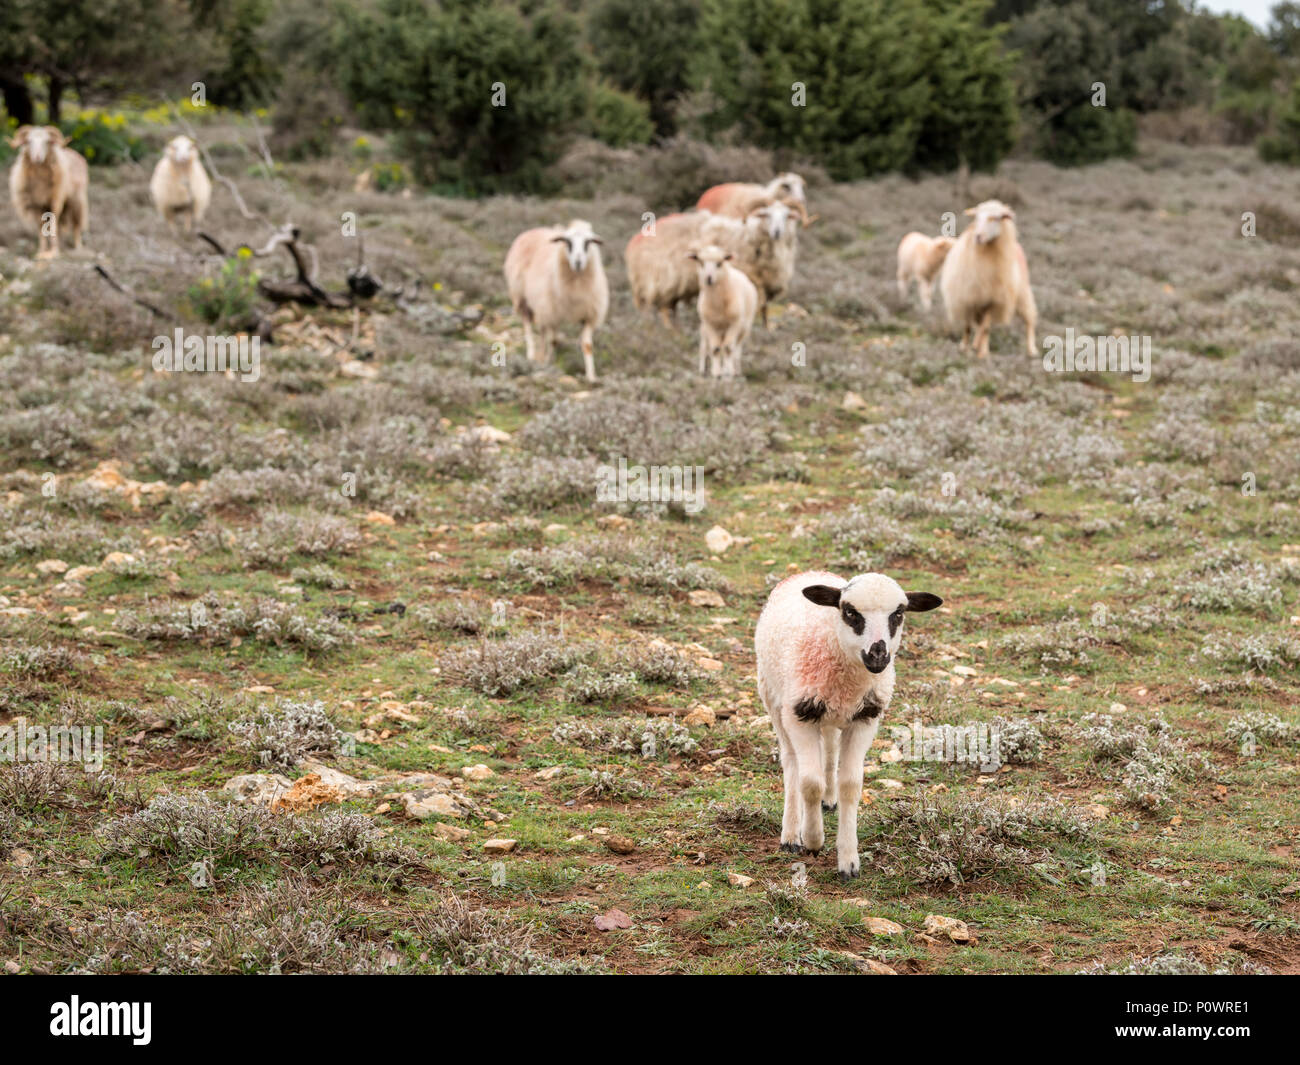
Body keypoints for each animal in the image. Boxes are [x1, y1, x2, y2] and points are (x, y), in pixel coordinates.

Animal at [7, 125, 89, 259]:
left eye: (47, 141)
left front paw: (54, 252)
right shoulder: (36, 205)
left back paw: (78, 249)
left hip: (76, 200)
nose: (37, 158)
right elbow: (41, 228)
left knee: (76, 224)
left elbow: (53, 225)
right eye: (29, 141)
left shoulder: (55, 201)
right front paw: (41, 251)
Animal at [503, 219, 608, 382]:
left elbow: (587, 345)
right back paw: (532, 355)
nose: (578, 262)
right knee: (529, 327)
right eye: (568, 242)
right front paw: (549, 362)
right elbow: (553, 340)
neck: (576, 287)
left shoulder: (589, 315)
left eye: (588, 242)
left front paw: (591, 375)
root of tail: (534, 230)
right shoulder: (553, 313)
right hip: (522, 298)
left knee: (542, 332)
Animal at [689, 243, 758, 378]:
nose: (708, 278)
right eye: (701, 262)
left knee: (736, 349)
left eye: (719, 263)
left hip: (744, 329)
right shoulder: (709, 324)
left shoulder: (735, 324)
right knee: (706, 347)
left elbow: (728, 348)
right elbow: (715, 348)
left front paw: (728, 372)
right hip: (708, 329)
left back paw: (735, 369)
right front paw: (716, 373)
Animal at [754, 570, 942, 879]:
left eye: (899, 613)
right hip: (773, 699)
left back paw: (828, 800)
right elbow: (809, 783)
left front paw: (849, 861)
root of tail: (810, 573)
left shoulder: (865, 719)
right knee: (792, 763)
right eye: (850, 611)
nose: (878, 655)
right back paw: (791, 834)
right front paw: (813, 839)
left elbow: (851, 786)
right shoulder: (799, 715)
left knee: (830, 751)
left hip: (831, 716)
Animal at [938, 199, 1037, 359]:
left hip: (1022, 293)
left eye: (995, 218)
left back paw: (1031, 349)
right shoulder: (969, 297)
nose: (978, 236)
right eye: (976, 218)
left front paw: (982, 353)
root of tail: (1017, 246)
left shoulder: (993, 300)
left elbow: (985, 328)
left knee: (1029, 320)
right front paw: (964, 348)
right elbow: (968, 326)